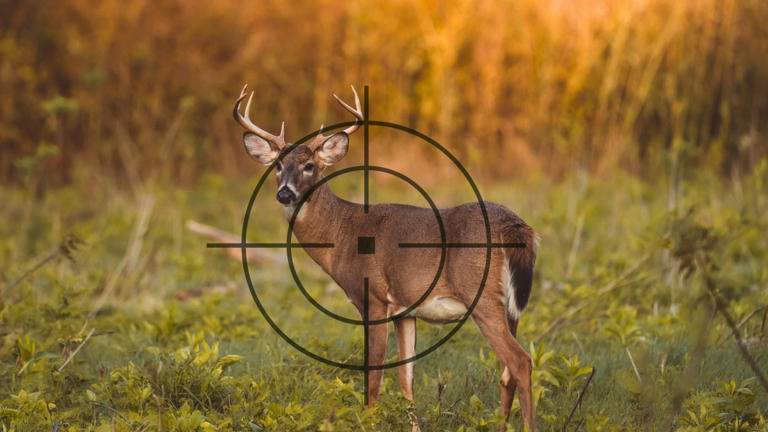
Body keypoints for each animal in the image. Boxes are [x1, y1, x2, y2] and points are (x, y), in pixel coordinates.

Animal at [233, 84, 538, 431]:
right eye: (277, 166)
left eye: (310, 165)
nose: (285, 193)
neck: (342, 233)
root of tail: (516, 227)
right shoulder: (405, 310)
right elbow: (406, 378)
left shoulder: (374, 299)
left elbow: (374, 376)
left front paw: (368, 421)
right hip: (511, 308)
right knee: (507, 373)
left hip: (482, 296)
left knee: (520, 361)